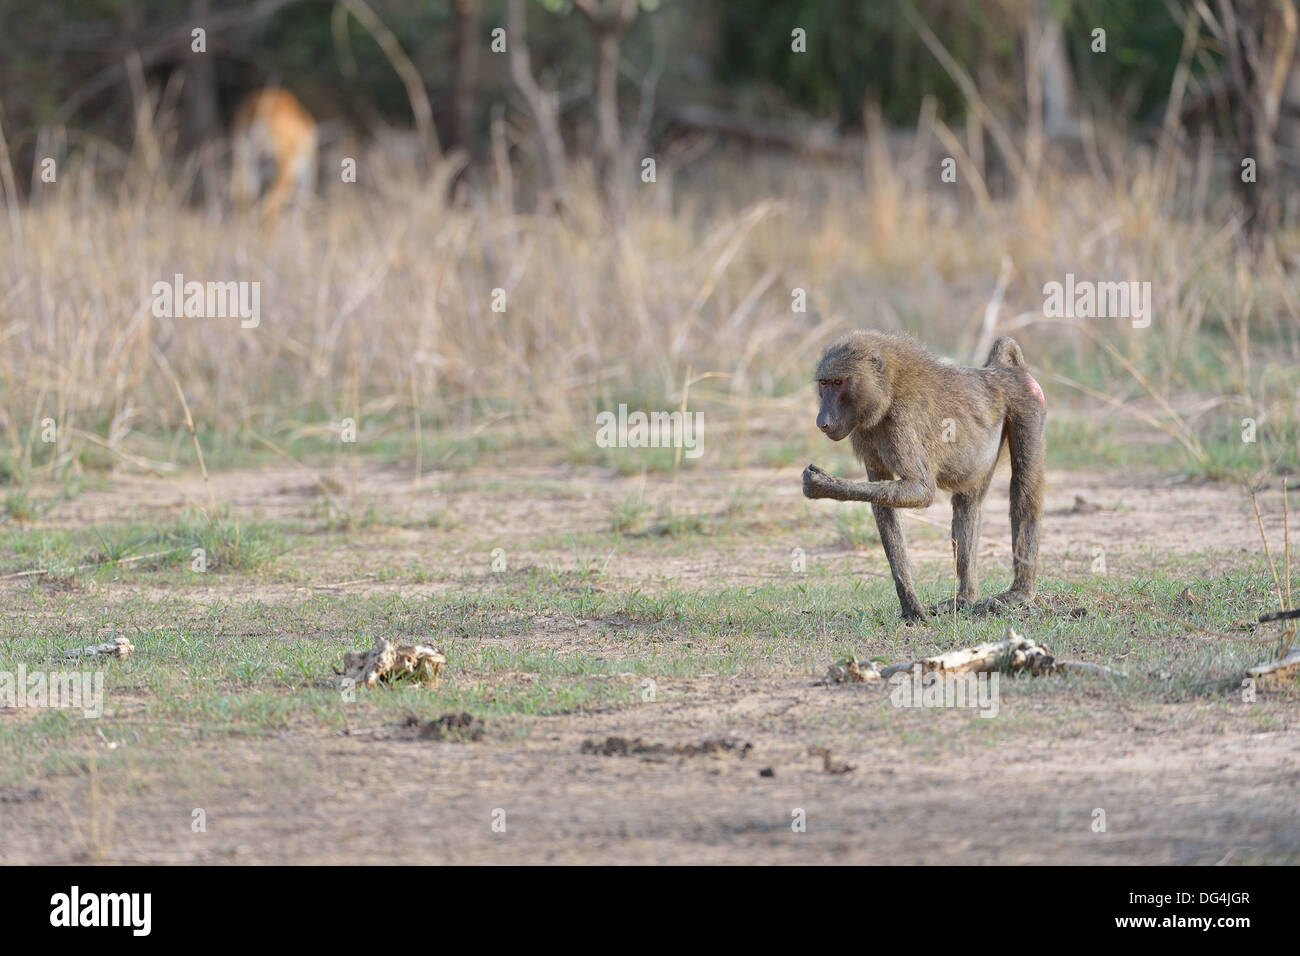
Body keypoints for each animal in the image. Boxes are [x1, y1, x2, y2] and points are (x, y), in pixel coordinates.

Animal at [802, 330, 1045, 622]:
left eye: (839, 382)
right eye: (824, 384)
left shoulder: (901, 422)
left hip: (1027, 405)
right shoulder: (865, 432)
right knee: (968, 504)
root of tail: (1002, 370)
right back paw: (965, 597)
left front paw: (820, 484)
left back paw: (1020, 593)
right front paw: (911, 606)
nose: (822, 421)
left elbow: (921, 489)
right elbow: (885, 510)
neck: (890, 387)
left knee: (1023, 492)